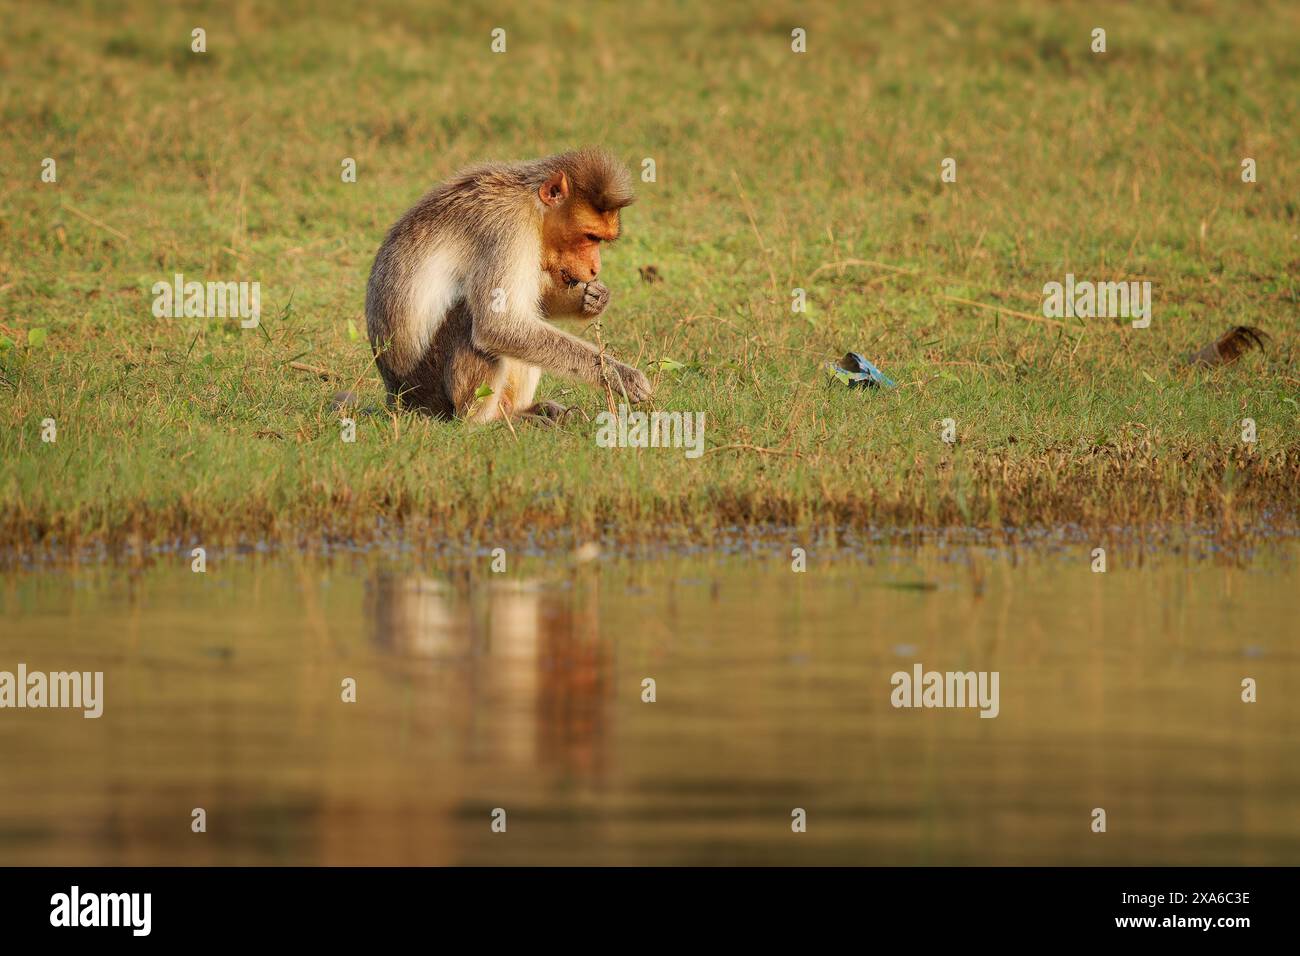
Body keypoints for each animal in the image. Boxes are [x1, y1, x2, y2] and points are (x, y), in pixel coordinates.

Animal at [364, 147, 652, 423]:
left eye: (599, 240)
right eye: (590, 237)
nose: (595, 268)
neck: (532, 206)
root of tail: (399, 400)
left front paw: (593, 299)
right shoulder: (507, 228)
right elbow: (498, 325)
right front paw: (619, 375)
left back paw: (526, 411)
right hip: (434, 396)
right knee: (472, 320)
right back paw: (485, 422)